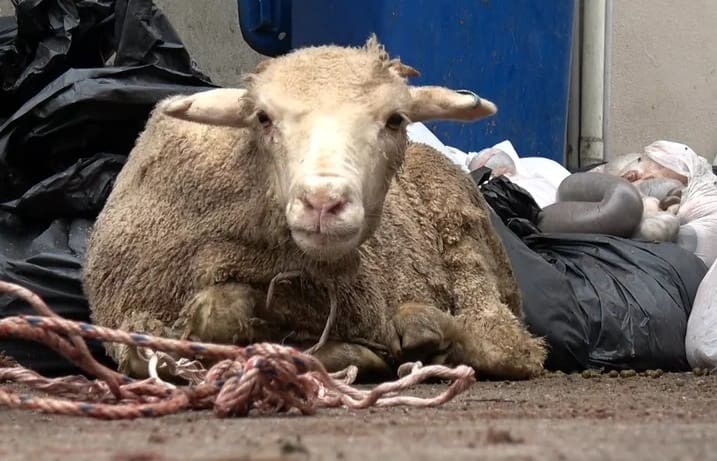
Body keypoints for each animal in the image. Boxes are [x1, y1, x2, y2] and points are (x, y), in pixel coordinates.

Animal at [82, 36, 547, 381]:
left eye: (395, 119)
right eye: (263, 118)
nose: (323, 202)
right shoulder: (131, 319)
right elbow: (204, 324)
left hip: (464, 243)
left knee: (507, 345)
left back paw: (427, 331)